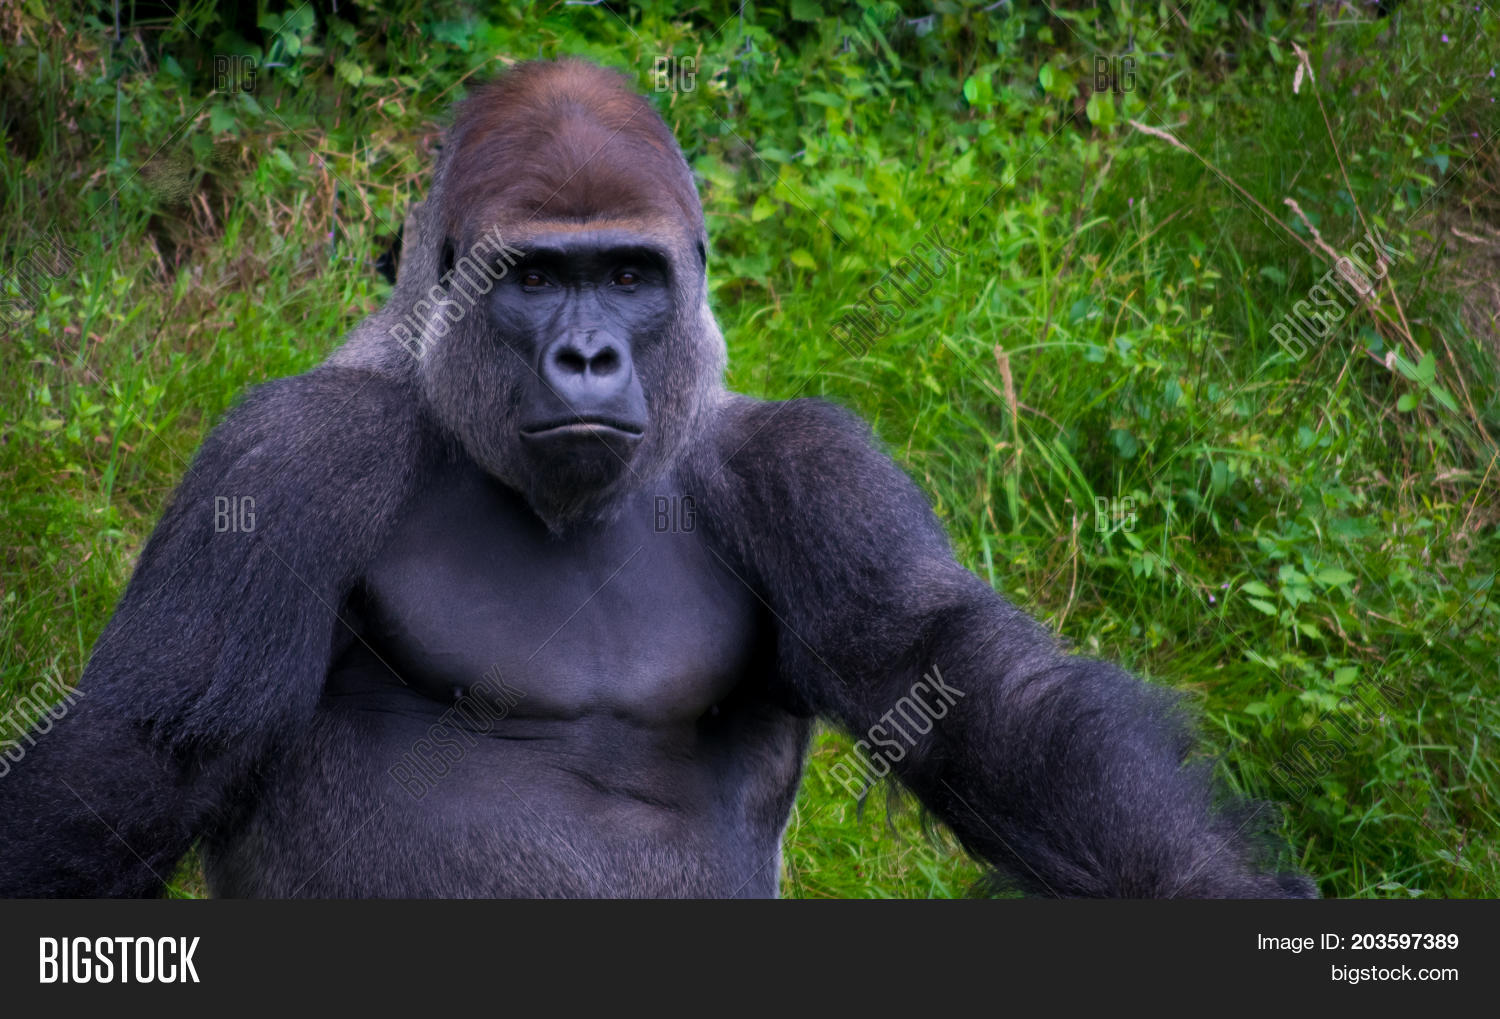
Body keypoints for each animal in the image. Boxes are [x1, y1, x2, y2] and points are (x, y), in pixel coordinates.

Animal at [0, 59, 1315, 898]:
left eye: (629, 273)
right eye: (535, 276)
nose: (589, 354)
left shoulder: (812, 471)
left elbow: (964, 688)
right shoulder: (287, 455)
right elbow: (145, 746)